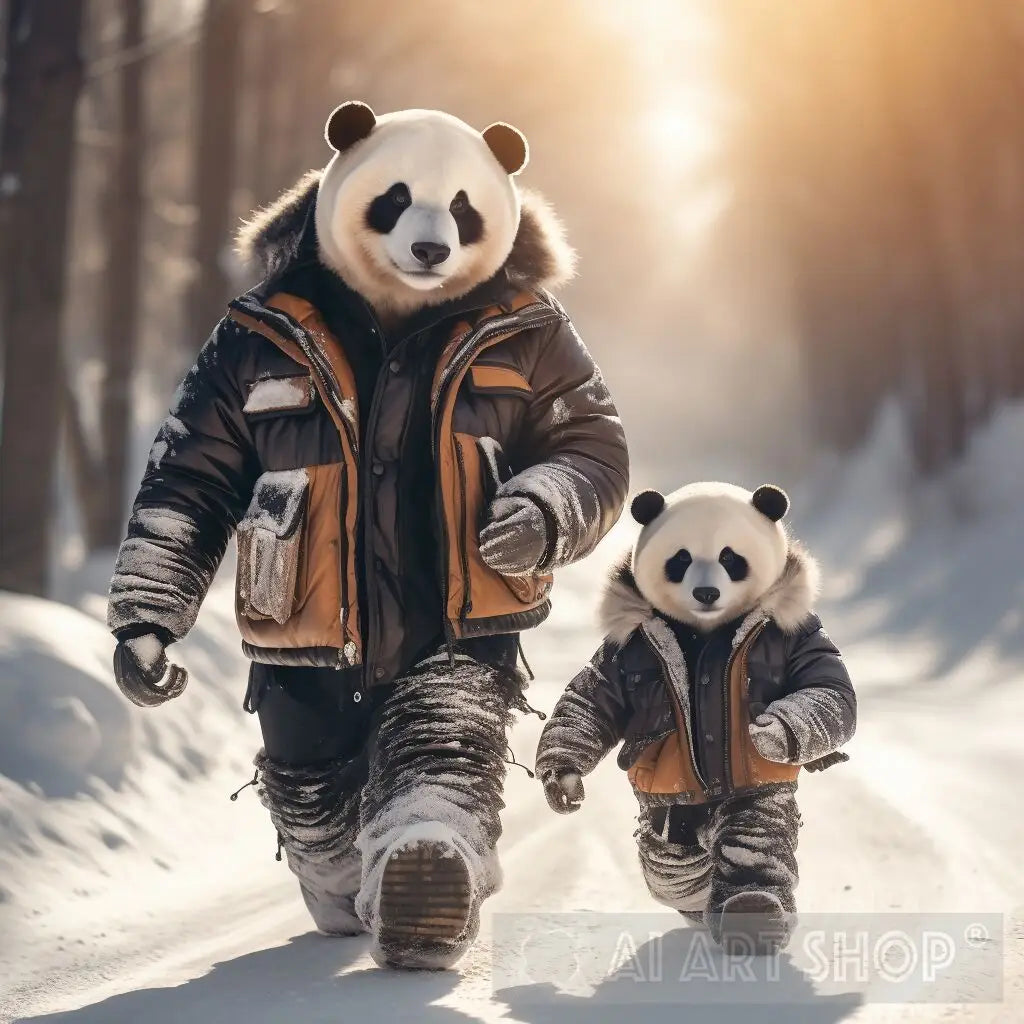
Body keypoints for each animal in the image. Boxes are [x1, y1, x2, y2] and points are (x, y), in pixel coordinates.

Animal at [535, 481, 857, 954]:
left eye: (730, 557)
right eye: (681, 559)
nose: (706, 594)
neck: (706, 633)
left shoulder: (797, 632)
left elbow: (828, 690)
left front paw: (773, 731)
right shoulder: (622, 650)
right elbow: (590, 702)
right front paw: (562, 780)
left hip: (747, 802)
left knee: (752, 841)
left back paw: (752, 911)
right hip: (669, 829)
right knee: (672, 874)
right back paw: (702, 906)